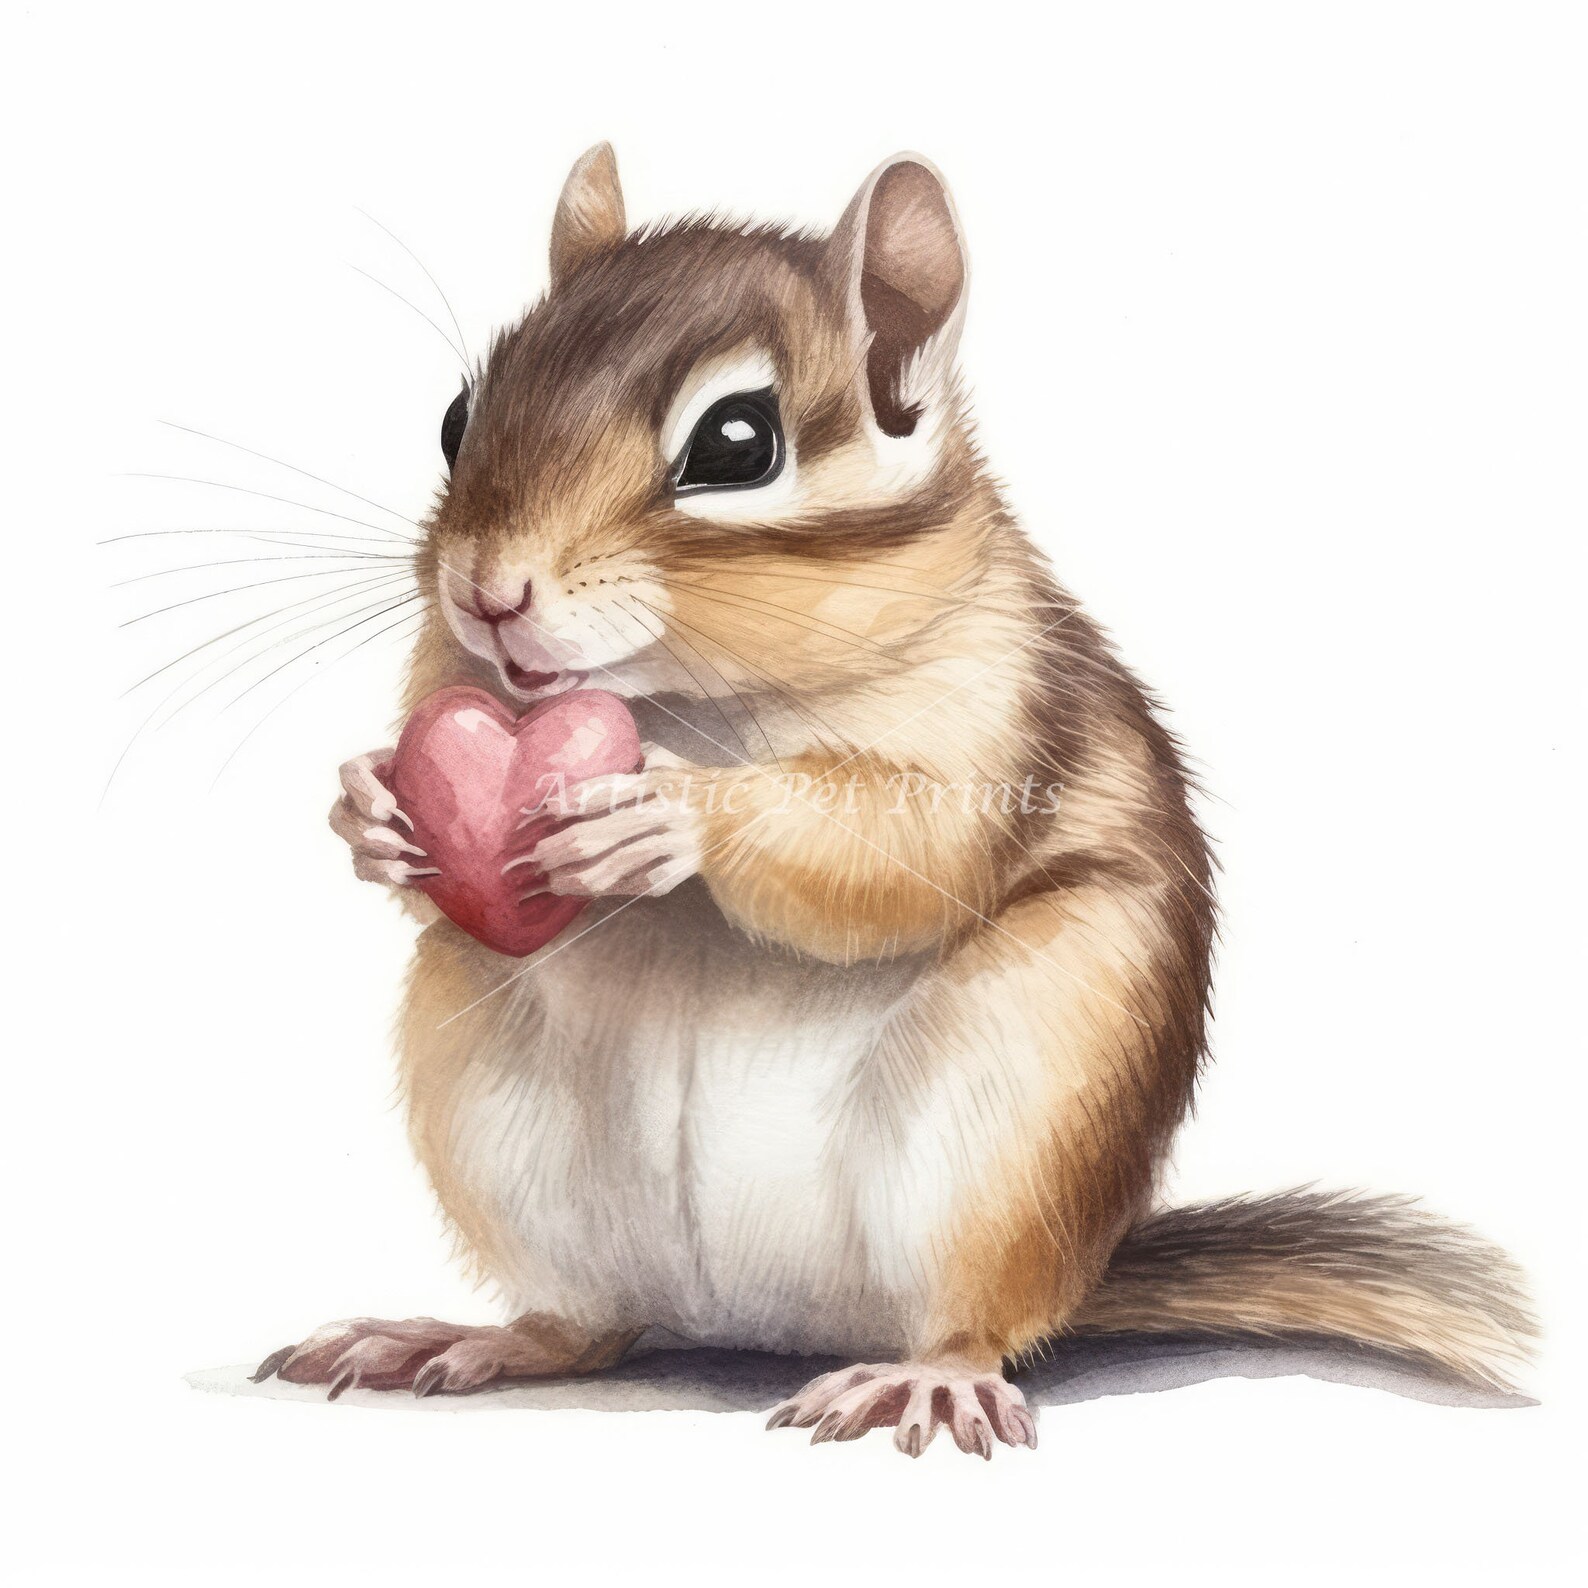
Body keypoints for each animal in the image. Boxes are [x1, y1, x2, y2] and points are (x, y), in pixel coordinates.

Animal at [254, 144, 1534, 1456]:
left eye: (735, 443)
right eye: (457, 419)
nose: (487, 592)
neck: (683, 701)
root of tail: (764, 1321)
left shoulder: (993, 712)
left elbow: (898, 842)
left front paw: (668, 813)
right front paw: (368, 810)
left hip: (1012, 1123)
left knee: (970, 1317)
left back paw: (925, 1378)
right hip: (503, 1132)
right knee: (585, 1322)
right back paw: (459, 1339)